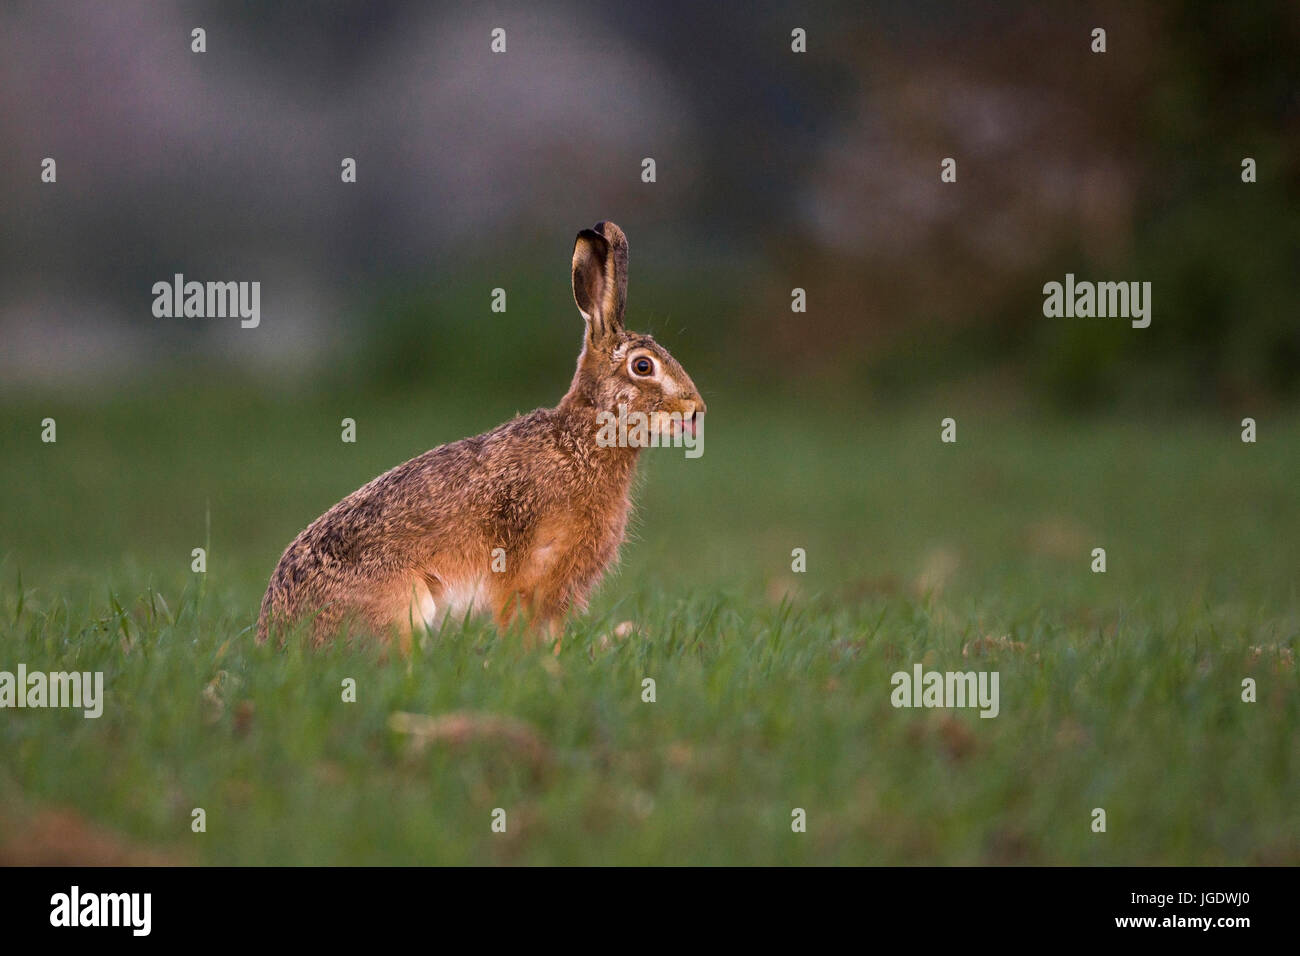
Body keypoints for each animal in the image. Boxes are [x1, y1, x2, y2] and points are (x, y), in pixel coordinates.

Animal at [257, 221, 705, 650]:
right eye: (643, 366)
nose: (696, 410)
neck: (582, 438)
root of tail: (274, 637)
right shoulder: (528, 571)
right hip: (408, 604)